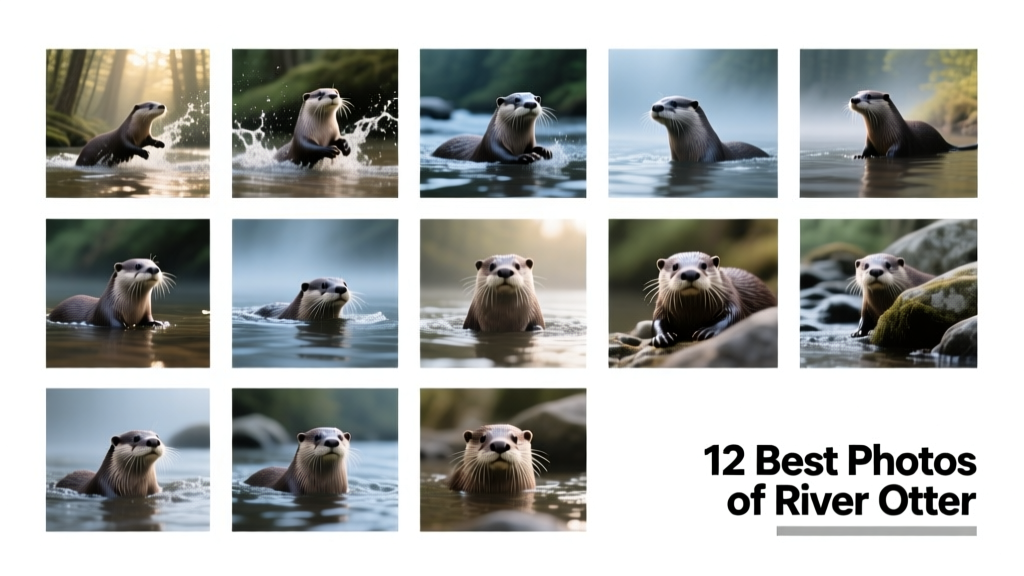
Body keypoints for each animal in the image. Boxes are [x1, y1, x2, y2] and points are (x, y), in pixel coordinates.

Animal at [848, 90, 978, 158]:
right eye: (857, 94)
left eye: (869, 96)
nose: (853, 99)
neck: (882, 136)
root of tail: (945, 142)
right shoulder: (870, 141)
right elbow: (866, 150)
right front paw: (858, 156)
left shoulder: (900, 140)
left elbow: (894, 153)